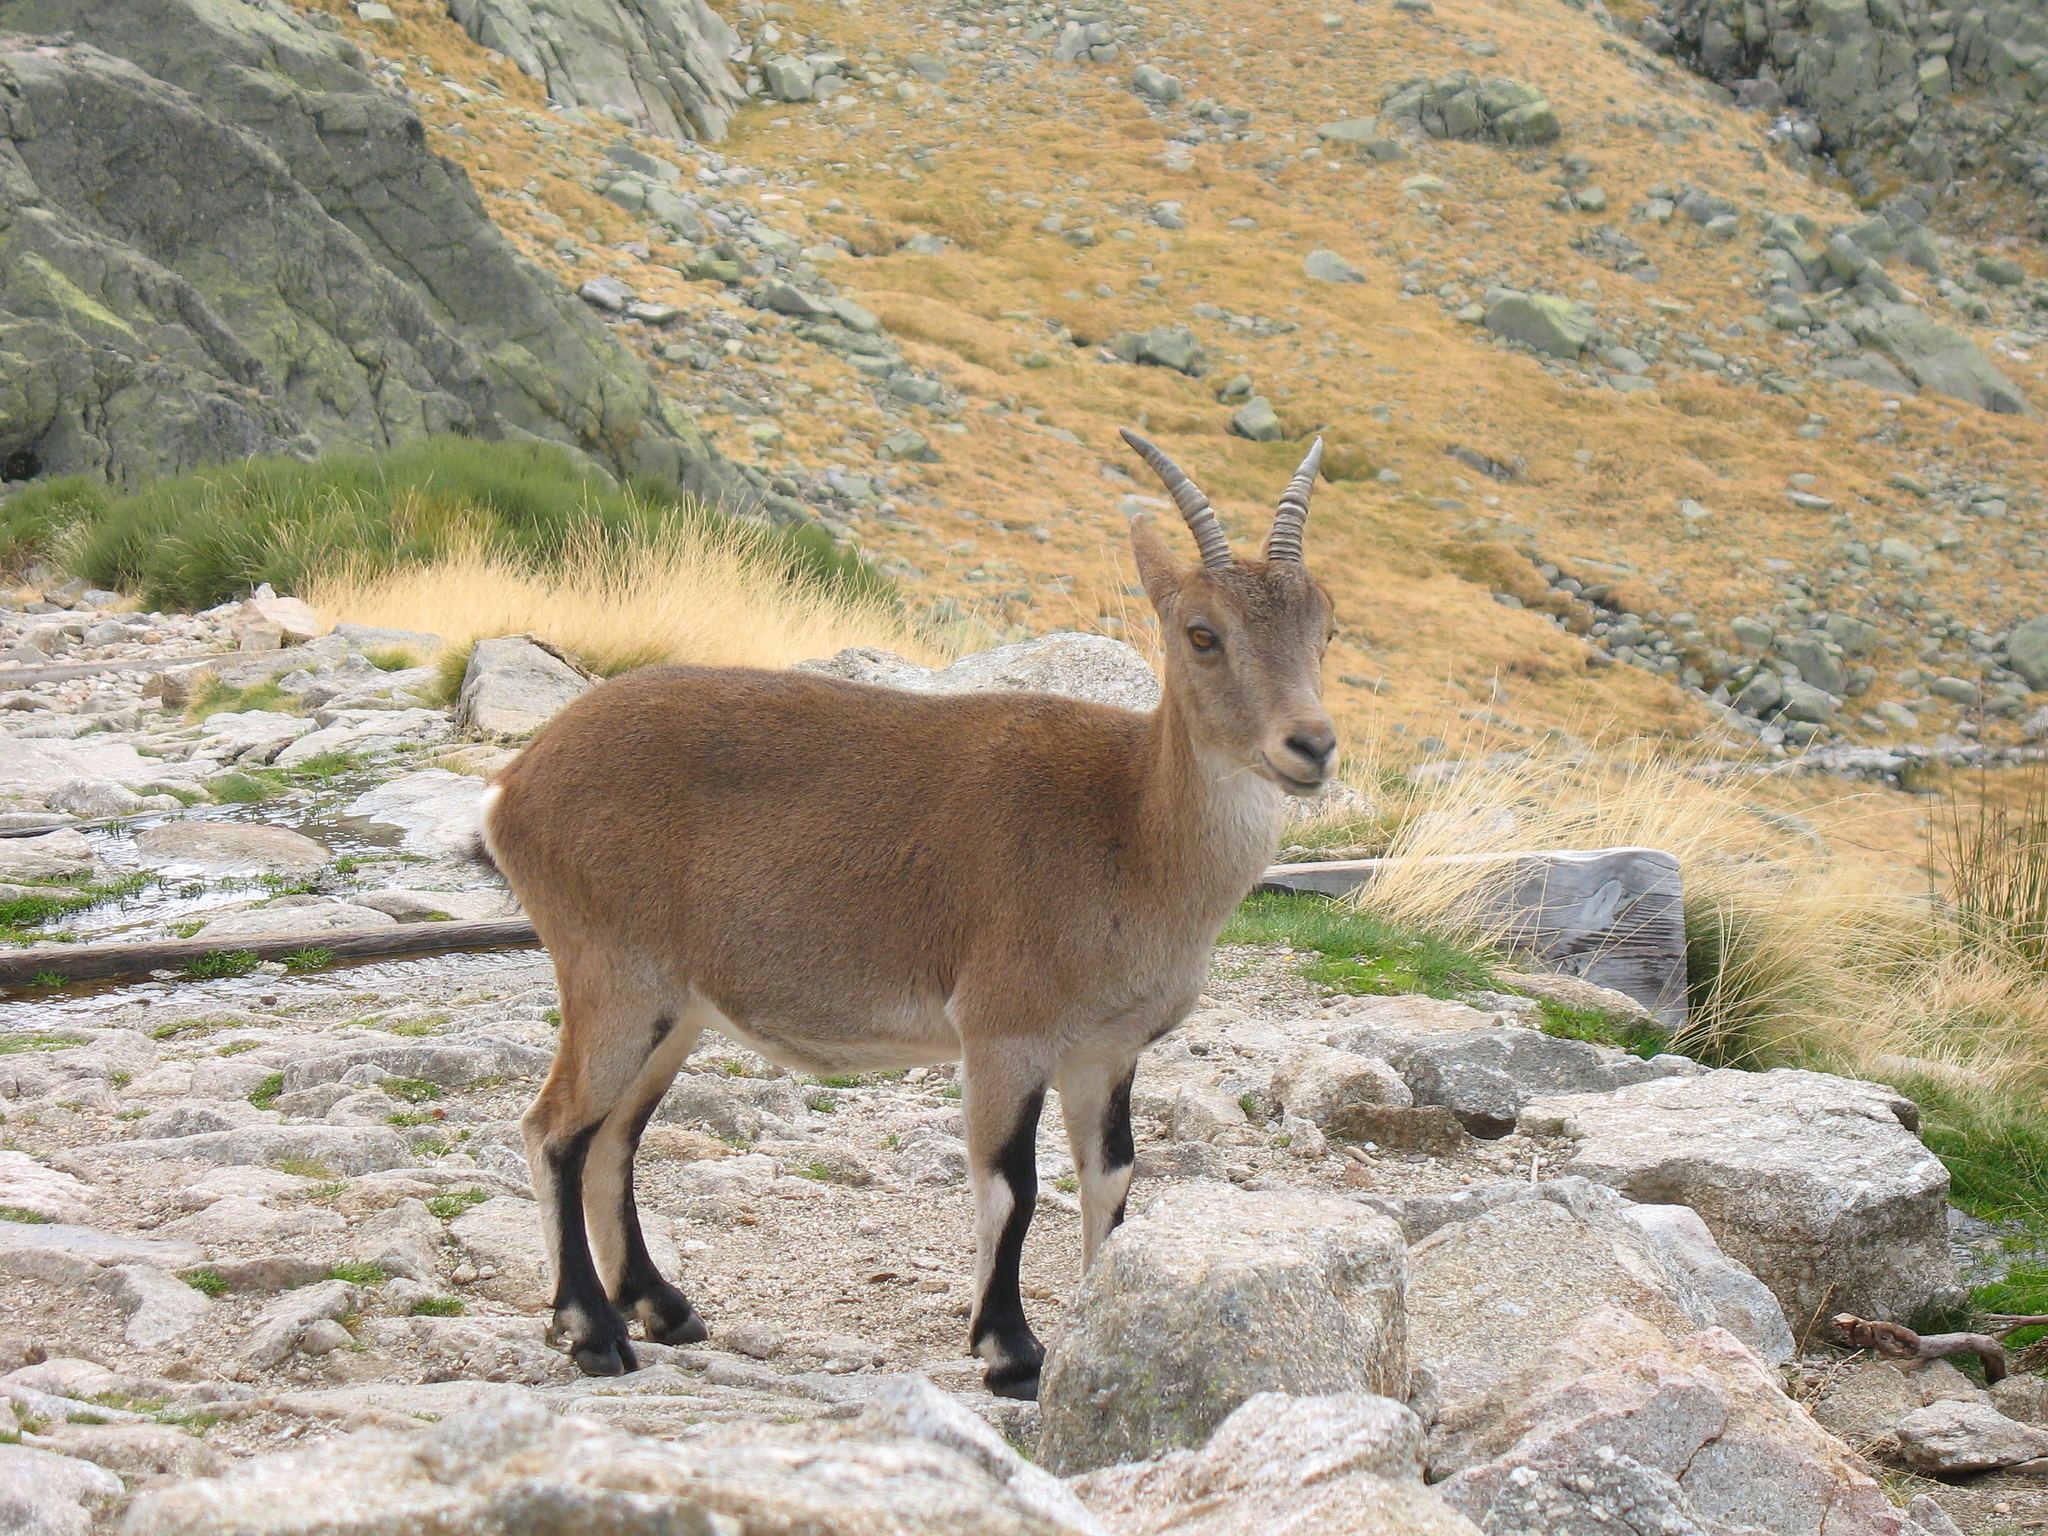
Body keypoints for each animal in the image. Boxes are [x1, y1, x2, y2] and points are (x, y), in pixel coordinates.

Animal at [481, 429, 1336, 1398]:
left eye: (1326, 628)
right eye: (1202, 634)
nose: (1311, 745)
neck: (1132, 830)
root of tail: (515, 784)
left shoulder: (1106, 1051)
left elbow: (1111, 1180)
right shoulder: (1004, 1032)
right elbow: (1012, 1187)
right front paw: (1010, 1350)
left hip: (676, 1010)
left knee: (615, 1138)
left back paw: (663, 1308)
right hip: (613, 975)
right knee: (555, 1131)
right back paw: (592, 1331)